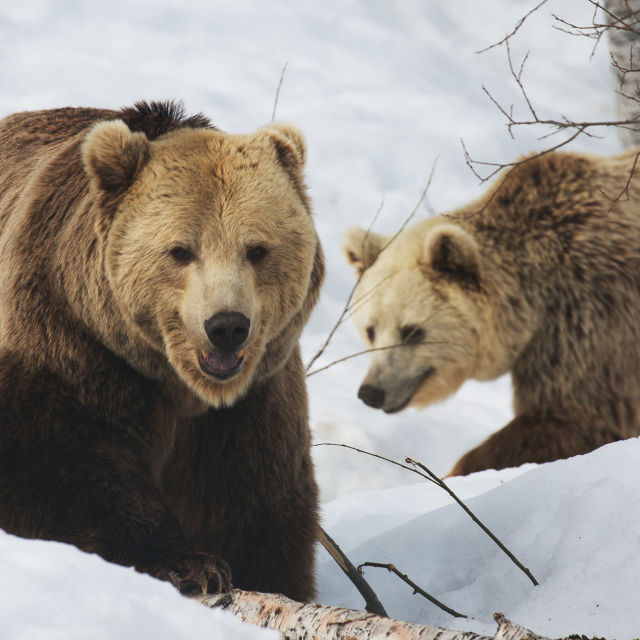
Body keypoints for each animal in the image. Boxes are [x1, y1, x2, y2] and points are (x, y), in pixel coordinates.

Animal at [0, 101, 324, 600]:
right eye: (180, 250)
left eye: (257, 249)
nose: (226, 326)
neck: (179, 386)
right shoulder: (71, 344)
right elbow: (65, 471)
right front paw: (190, 564)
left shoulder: (251, 405)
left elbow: (256, 509)